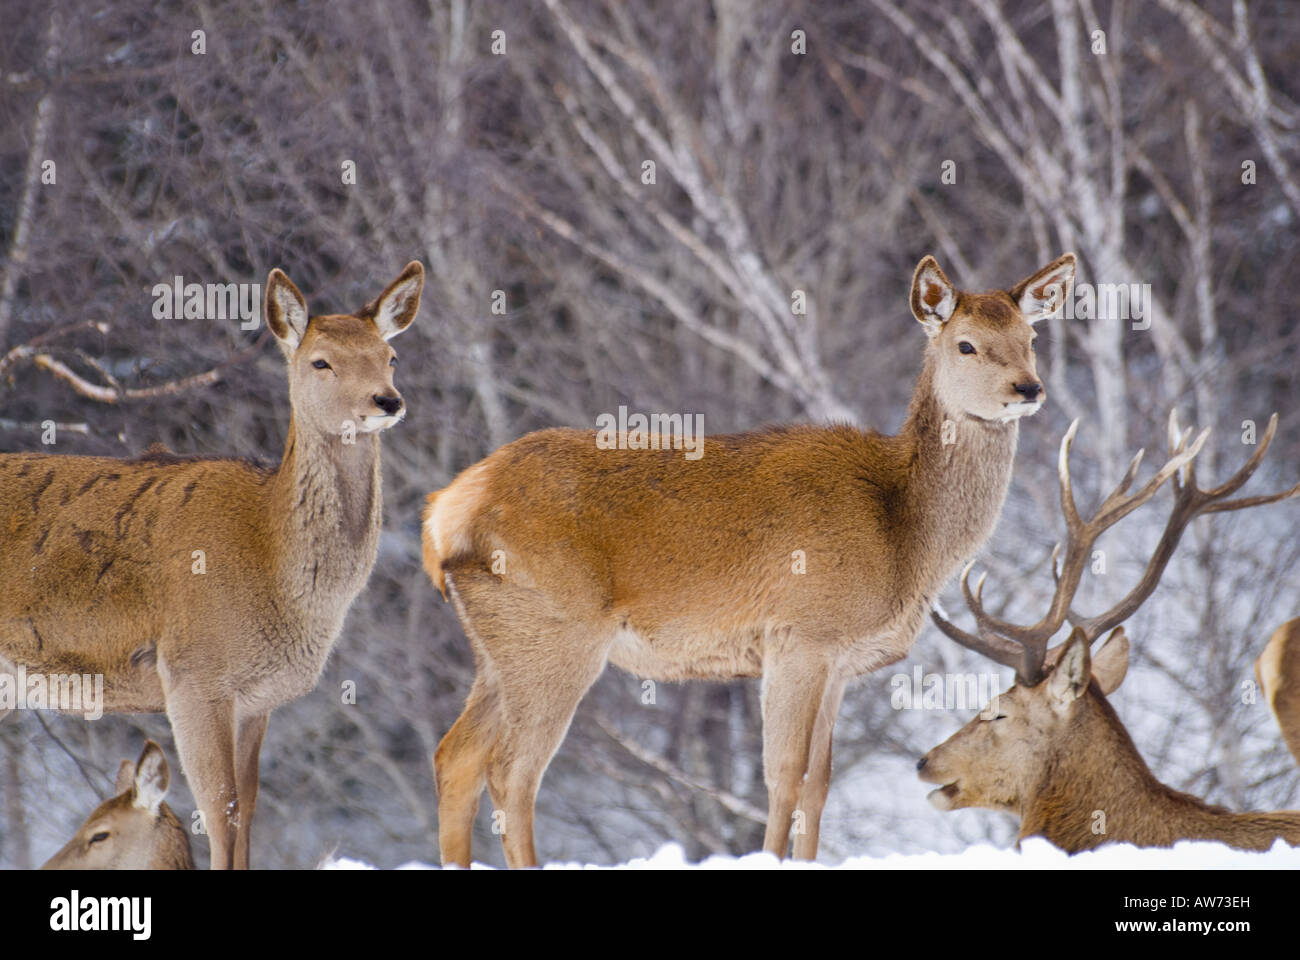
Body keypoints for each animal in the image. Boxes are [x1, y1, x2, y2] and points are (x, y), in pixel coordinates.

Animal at [423, 252, 1078, 867]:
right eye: (966, 343)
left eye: (1030, 337)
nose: (1028, 388)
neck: (904, 534)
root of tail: (445, 511)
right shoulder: (800, 636)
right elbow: (783, 777)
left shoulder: (840, 661)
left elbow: (819, 782)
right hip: (556, 633)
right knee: (512, 770)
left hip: (500, 644)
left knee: (455, 754)